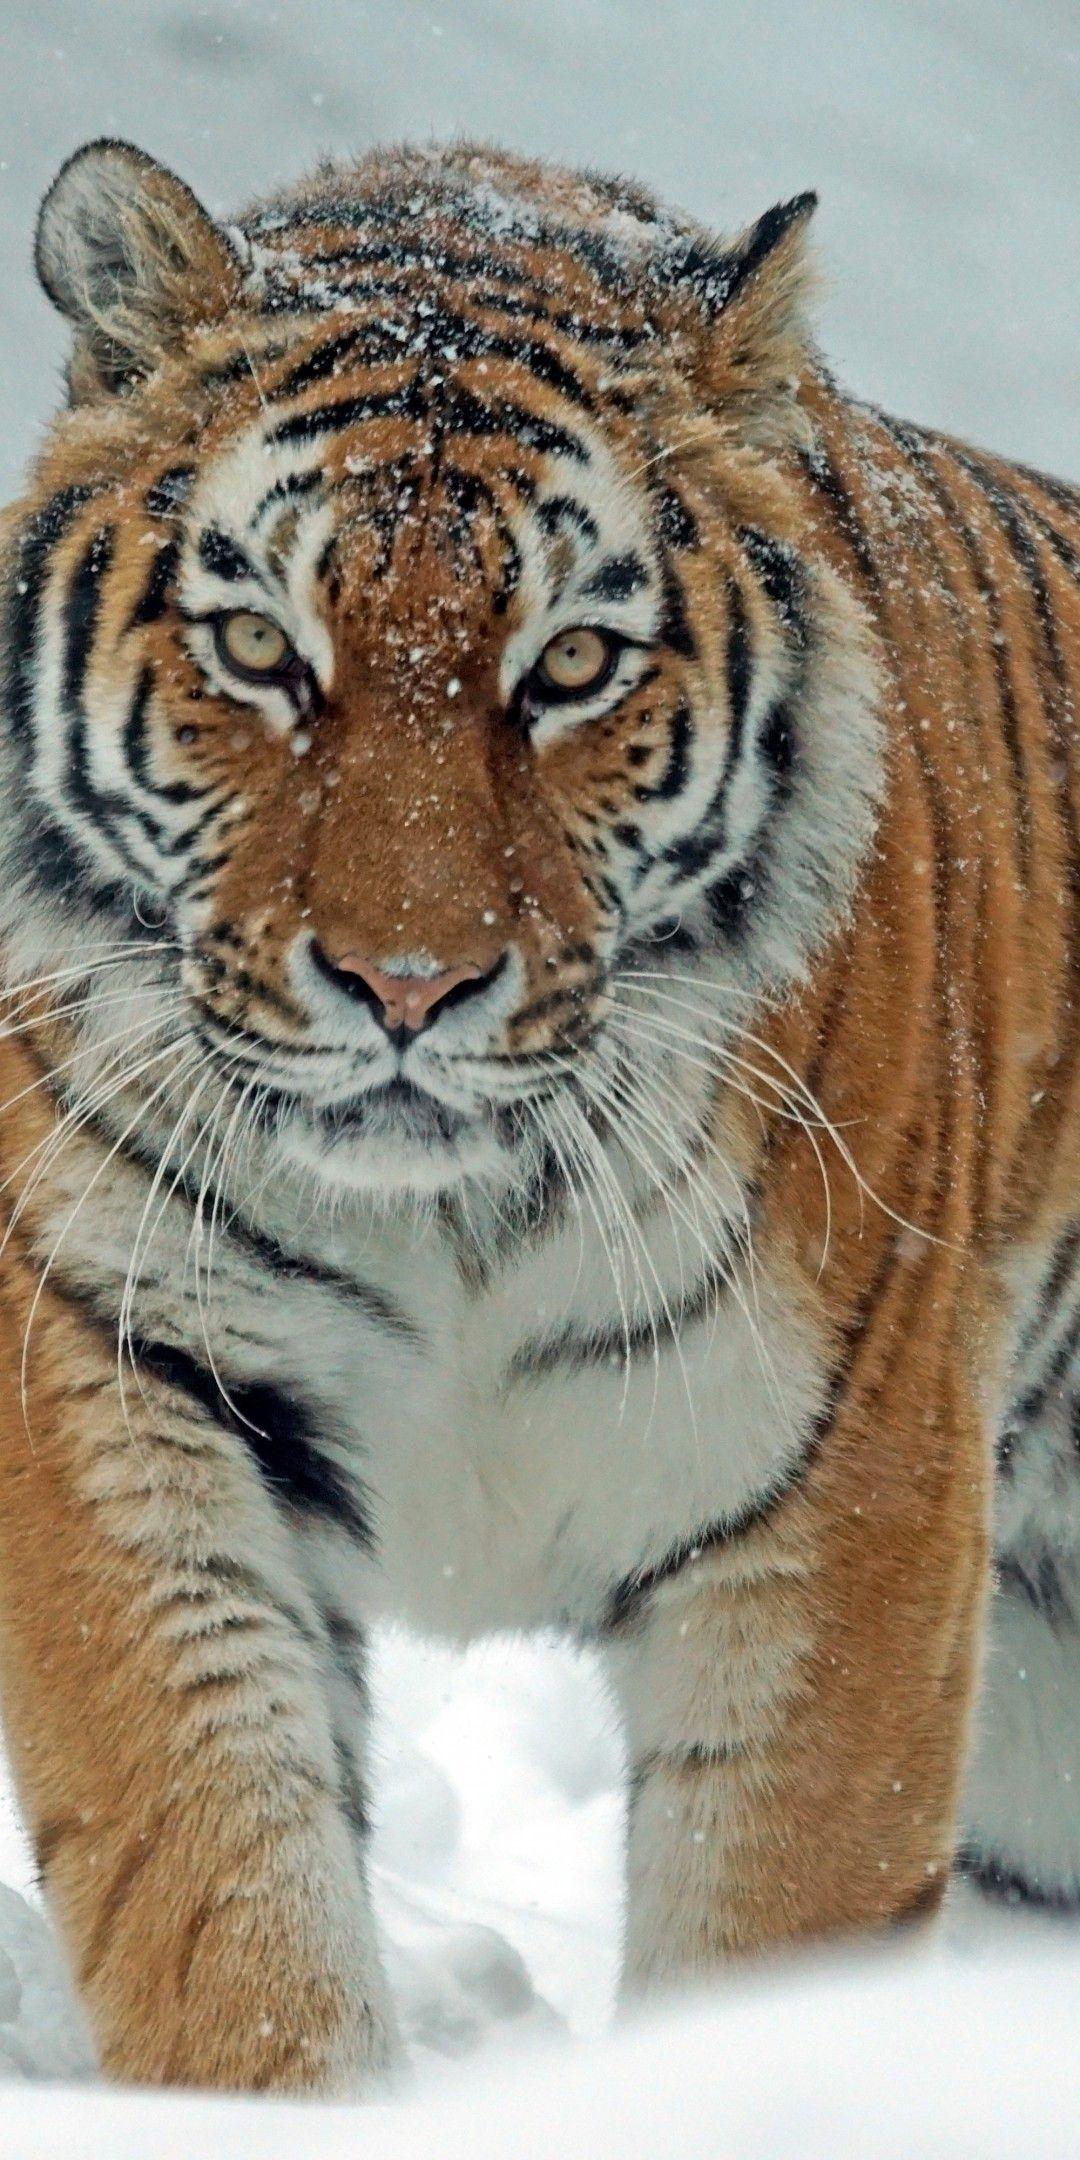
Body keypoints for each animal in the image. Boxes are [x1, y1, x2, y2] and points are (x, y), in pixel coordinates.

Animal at [0, 131, 1075, 2095]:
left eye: (571, 666)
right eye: (259, 646)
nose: (408, 986)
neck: (450, 1220)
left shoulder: (844, 1506)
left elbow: (769, 1946)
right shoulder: (123, 1385)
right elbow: (220, 1898)